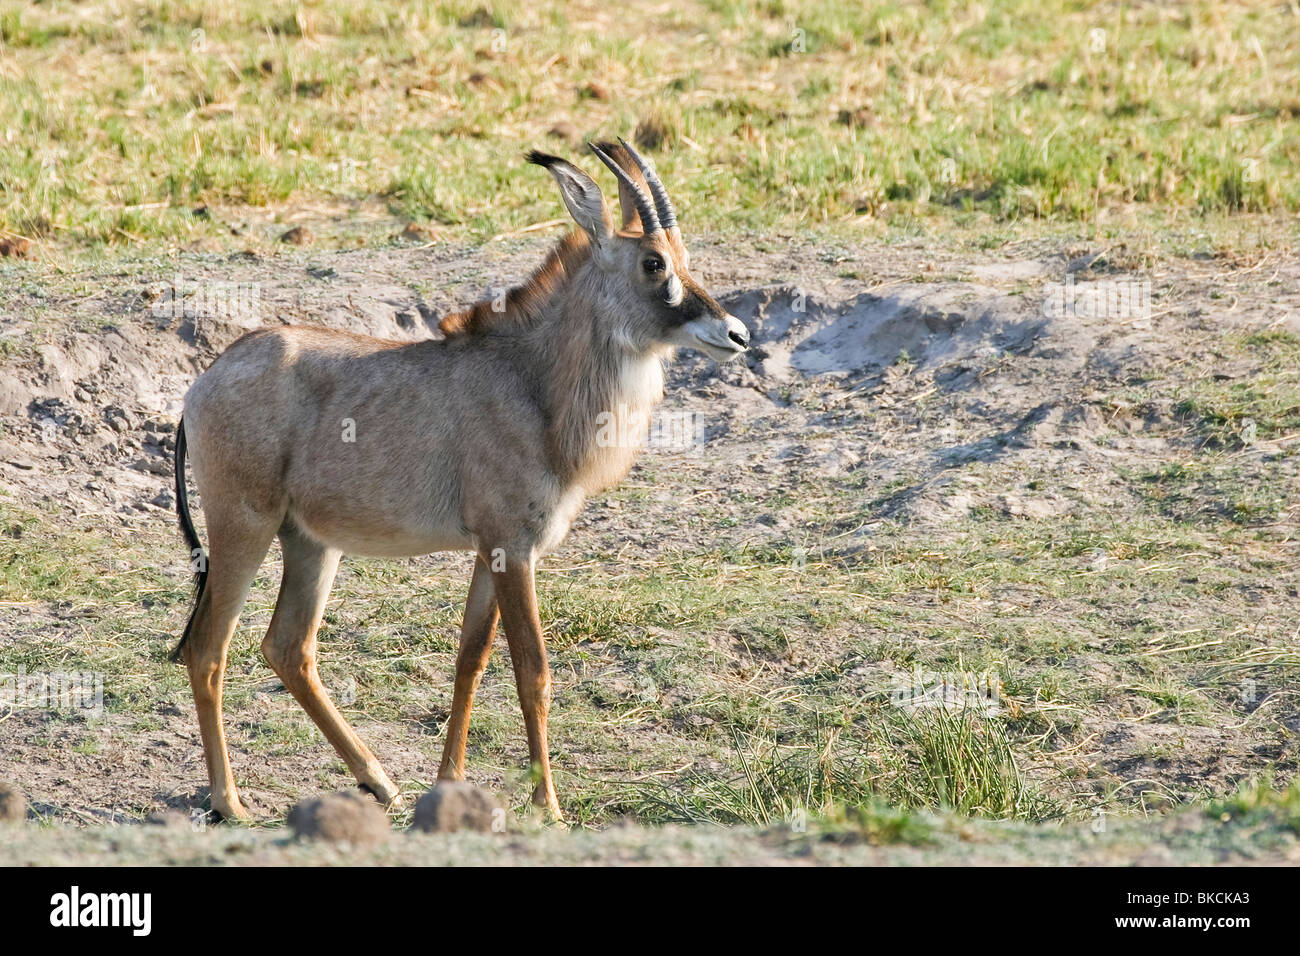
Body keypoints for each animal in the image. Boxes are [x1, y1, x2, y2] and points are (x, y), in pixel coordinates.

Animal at [172, 140, 750, 822]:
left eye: (685, 257)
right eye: (652, 262)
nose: (738, 335)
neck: (531, 384)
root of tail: (202, 386)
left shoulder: (490, 551)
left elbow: (470, 659)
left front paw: (448, 782)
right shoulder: (514, 549)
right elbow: (533, 670)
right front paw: (550, 806)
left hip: (310, 542)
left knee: (288, 647)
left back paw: (378, 781)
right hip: (244, 526)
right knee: (208, 650)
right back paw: (230, 801)